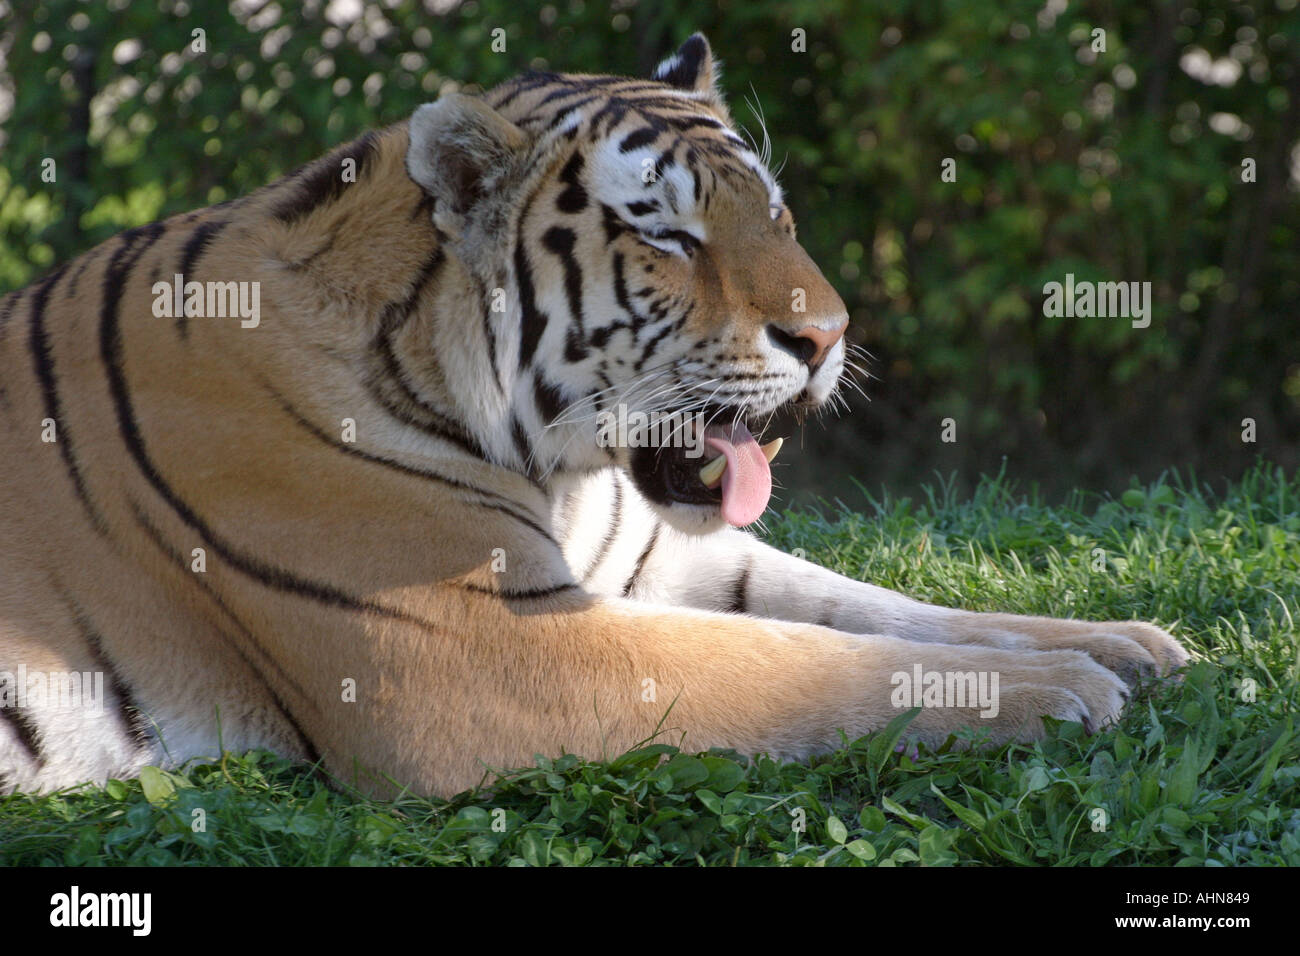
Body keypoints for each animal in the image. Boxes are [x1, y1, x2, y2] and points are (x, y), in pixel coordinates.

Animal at [0, 34, 1188, 798]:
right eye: (666, 234)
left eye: (776, 214)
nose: (829, 335)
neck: (557, 468)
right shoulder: (481, 651)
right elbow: (792, 660)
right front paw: (1062, 686)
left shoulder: (654, 555)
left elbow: (883, 608)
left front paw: (1123, 639)